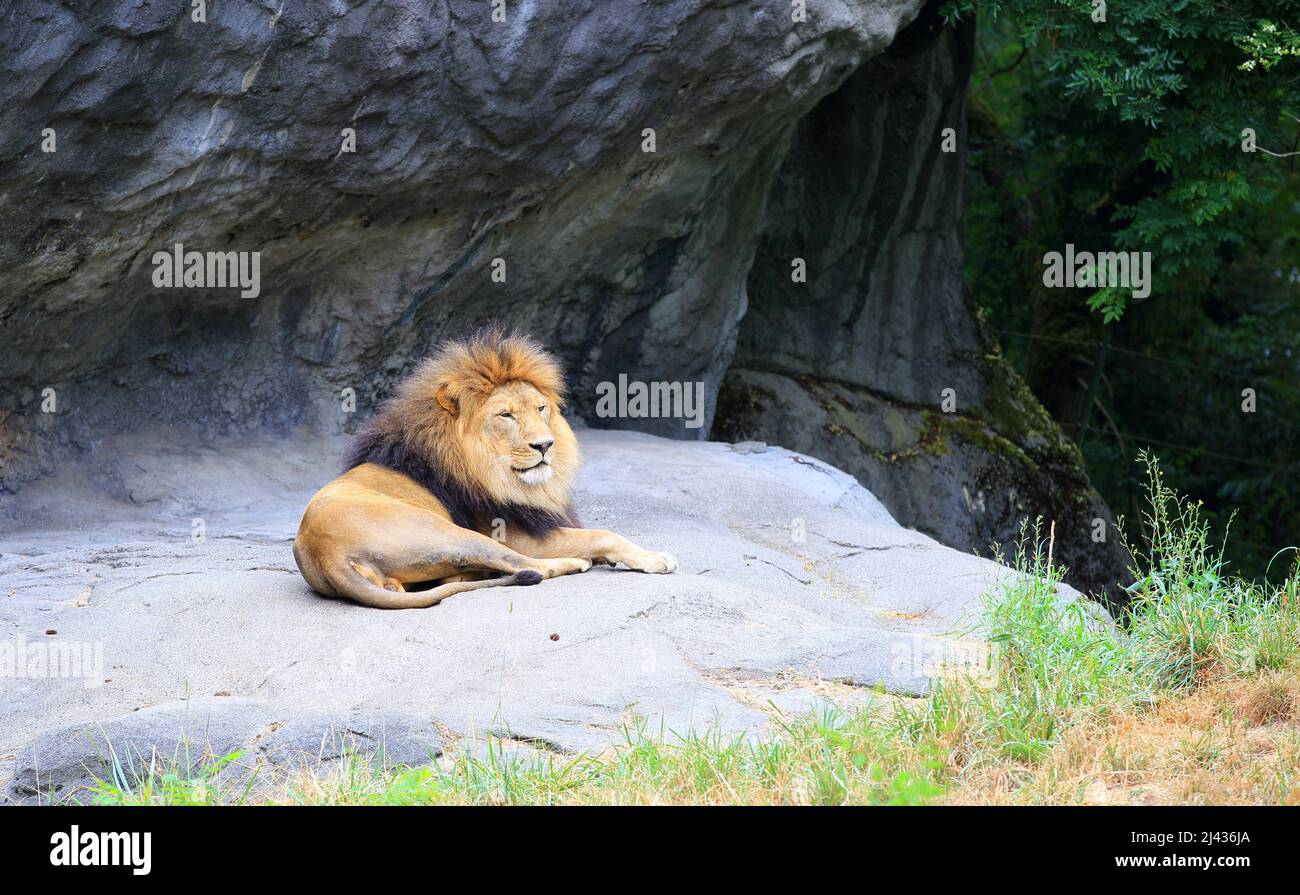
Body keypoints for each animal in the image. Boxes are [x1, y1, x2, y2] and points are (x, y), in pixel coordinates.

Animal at [293, 331, 677, 609]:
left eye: (541, 408)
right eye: (506, 415)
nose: (545, 445)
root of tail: (326, 554)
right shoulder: (519, 534)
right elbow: (605, 534)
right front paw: (654, 557)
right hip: (457, 535)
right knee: (525, 566)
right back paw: (572, 563)